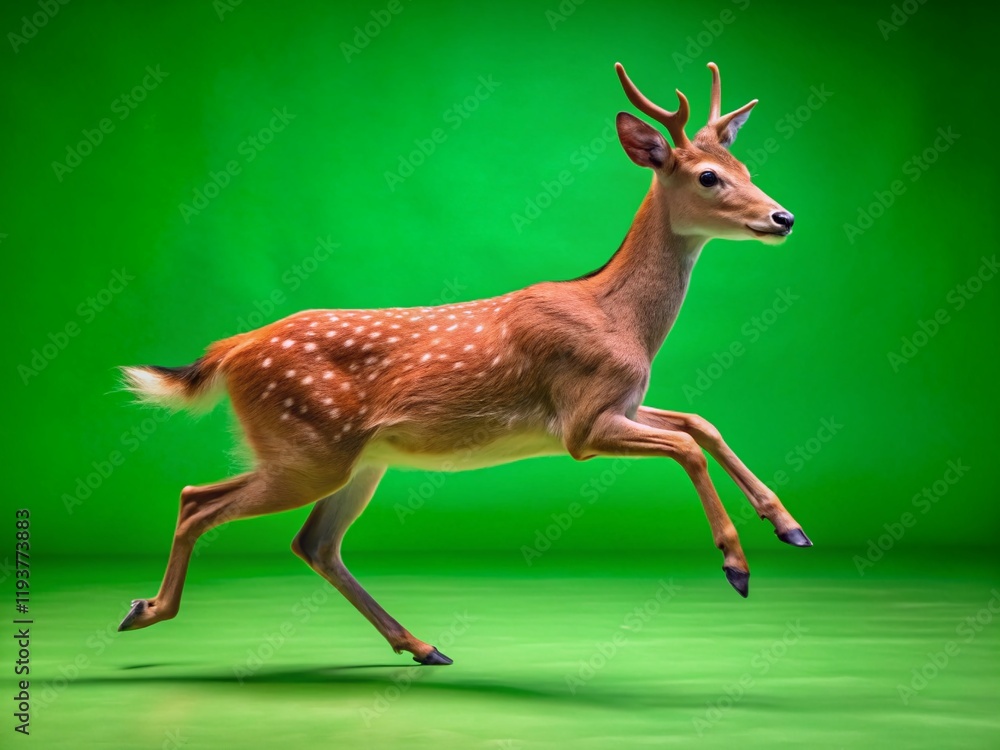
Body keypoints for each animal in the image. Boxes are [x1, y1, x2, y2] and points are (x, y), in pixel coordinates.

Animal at [118, 61, 811, 666]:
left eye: (746, 166)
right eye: (708, 177)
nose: (783, 216)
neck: (621, 320)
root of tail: (231, 349)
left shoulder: (622, 403)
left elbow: (700, 424)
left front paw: (789, 527)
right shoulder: (581, 424)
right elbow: (686, 445)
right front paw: (736, 564)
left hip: (355, 459)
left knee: (313, 543)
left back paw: (424, 647)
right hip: (306, 449)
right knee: (198, 500)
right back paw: (145, 610)